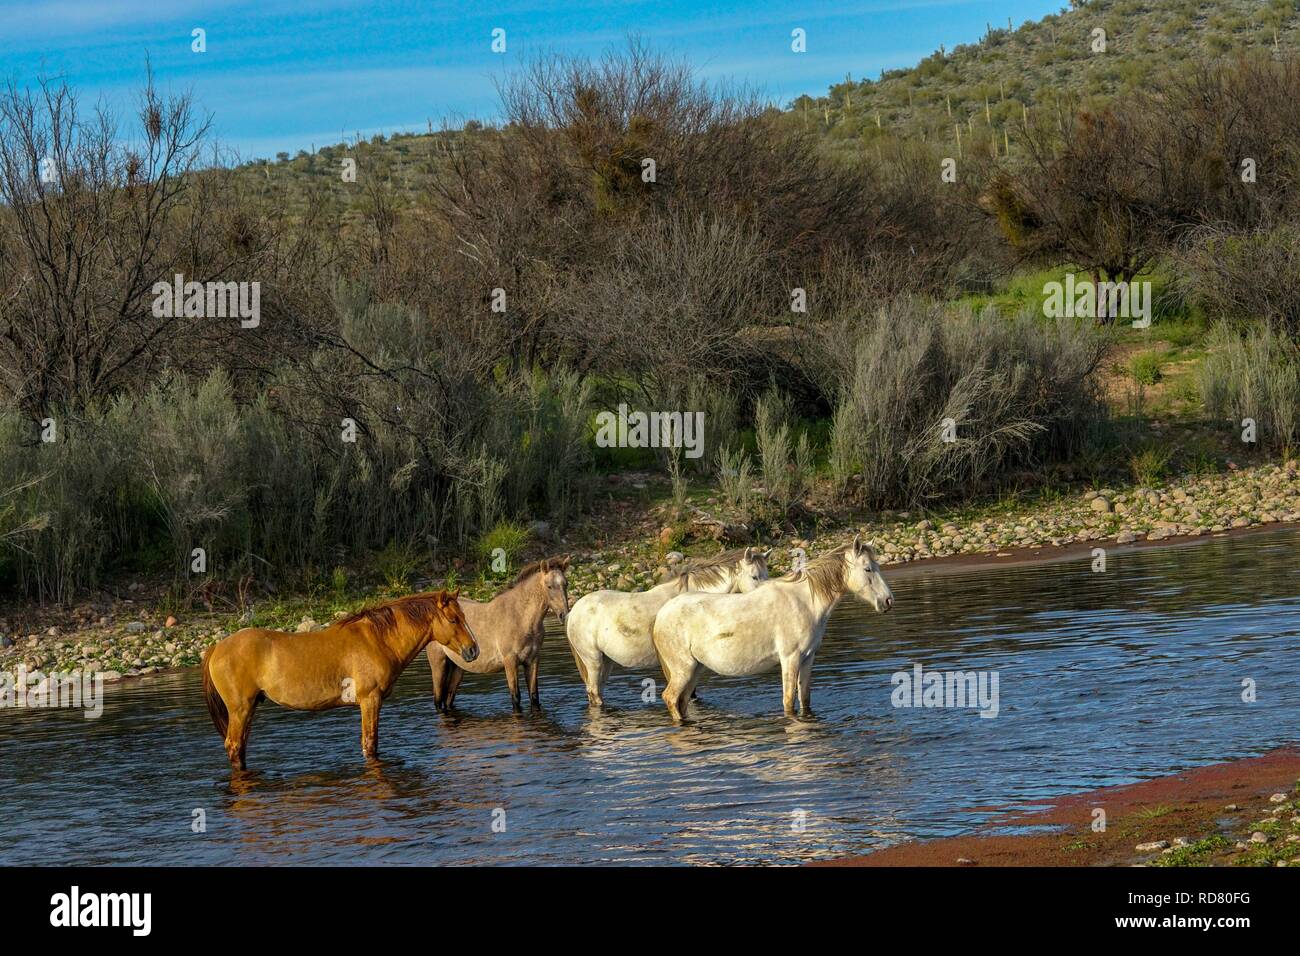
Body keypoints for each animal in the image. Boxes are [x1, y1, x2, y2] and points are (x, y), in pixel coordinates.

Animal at [202, 589, 479, 770]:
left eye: (464, 616)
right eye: (453, 619)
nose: (473, 650)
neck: (377, 640)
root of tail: (216, 648)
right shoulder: (370, 700)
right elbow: (369, 743)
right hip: (240, 709)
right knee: (234, 746)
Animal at [427, 555, 572, 713]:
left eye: (566, 584)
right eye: (549, 586)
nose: (564, 615)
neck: (520, 617)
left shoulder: (532, 661)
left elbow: (534, 697)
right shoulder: (510, 661)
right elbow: (516, 698)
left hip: (458, 667)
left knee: (448, 699)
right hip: (438, 662)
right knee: (437, 700)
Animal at [565, 547, 769, 707]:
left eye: (766, 575)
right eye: (754, 576)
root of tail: (574, 611)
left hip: (606, 661)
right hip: (593, 660)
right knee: (594, 691)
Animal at [652, 536, 893, 721]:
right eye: (867, 569)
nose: (888, 601)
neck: (804, 601)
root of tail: (660, 615)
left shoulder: (808, 658)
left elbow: (805, 699)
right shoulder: (790, 658)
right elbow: (788, 702)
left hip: (695, 669)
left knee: (681, 701)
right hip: (683, 670)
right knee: (670, 698)